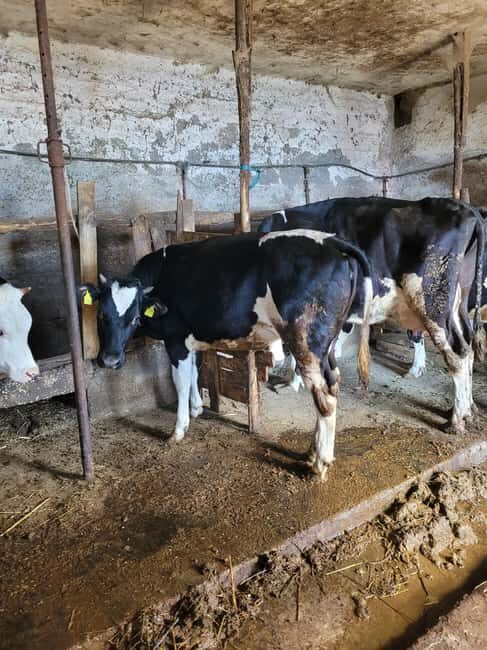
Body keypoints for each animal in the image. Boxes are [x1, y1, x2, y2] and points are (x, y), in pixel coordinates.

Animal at [79, 230, 372, 480]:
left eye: (135, 317)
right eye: (102, 315)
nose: (110, 360)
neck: (162, 275)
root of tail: (331, 240)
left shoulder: (175, 339)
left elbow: (180, 381)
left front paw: (178, 429)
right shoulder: (192, 338)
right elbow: (195, 372)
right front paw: (197, 408)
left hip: (306, 342)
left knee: (324, 396)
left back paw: (319, 464)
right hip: (327, 345)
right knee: (333, 382)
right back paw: (312, 452)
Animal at [259, 197, 485, 434]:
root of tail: (467, 209)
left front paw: (293, 383)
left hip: (432, 300)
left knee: (456, 354)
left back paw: (456, 421)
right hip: (460, 299)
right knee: (468, 345)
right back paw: (467, 410)